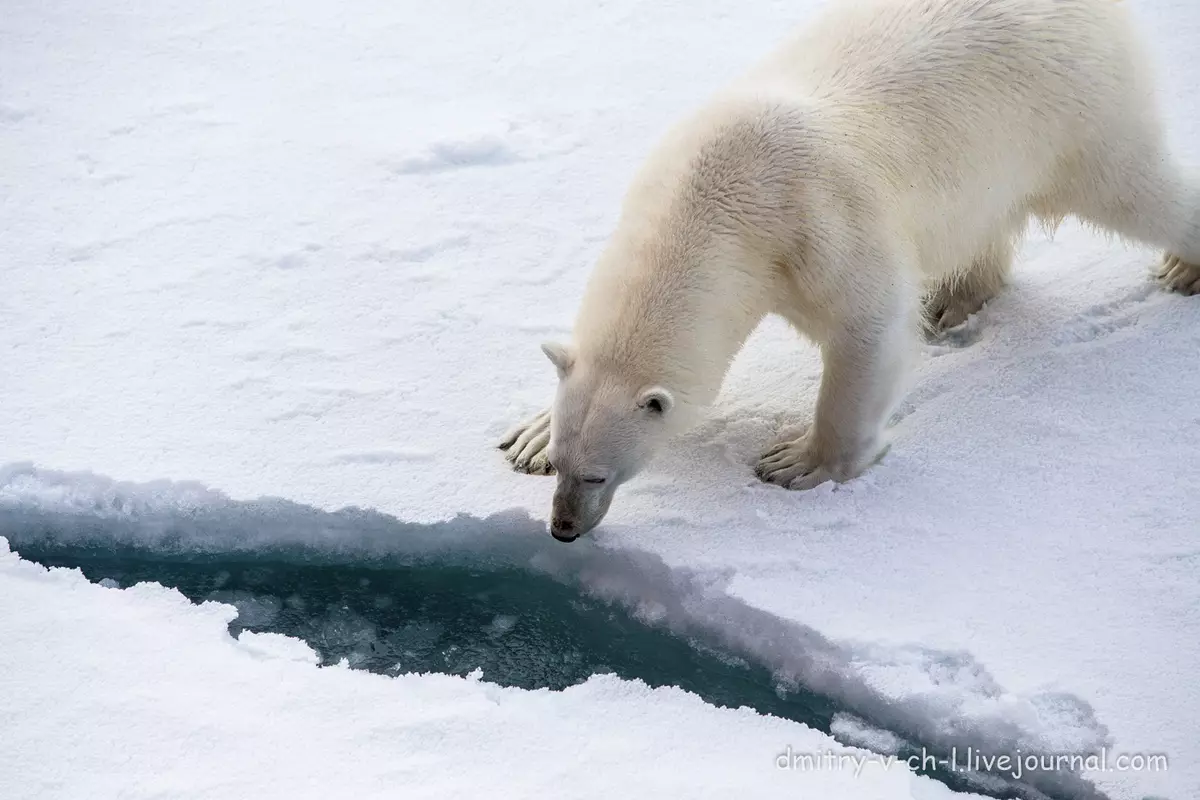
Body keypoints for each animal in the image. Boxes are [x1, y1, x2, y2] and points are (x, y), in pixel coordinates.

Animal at [494, 0, 1200, 544]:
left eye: (599, 474)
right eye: (563, 463)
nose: (562, 528)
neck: (718, 192)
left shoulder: (813, 218)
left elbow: (871, 324)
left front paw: (798, 462)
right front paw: (527, 434)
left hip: (1071, 108)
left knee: (1134, 190)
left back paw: (1182, 266)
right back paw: (956, 299)